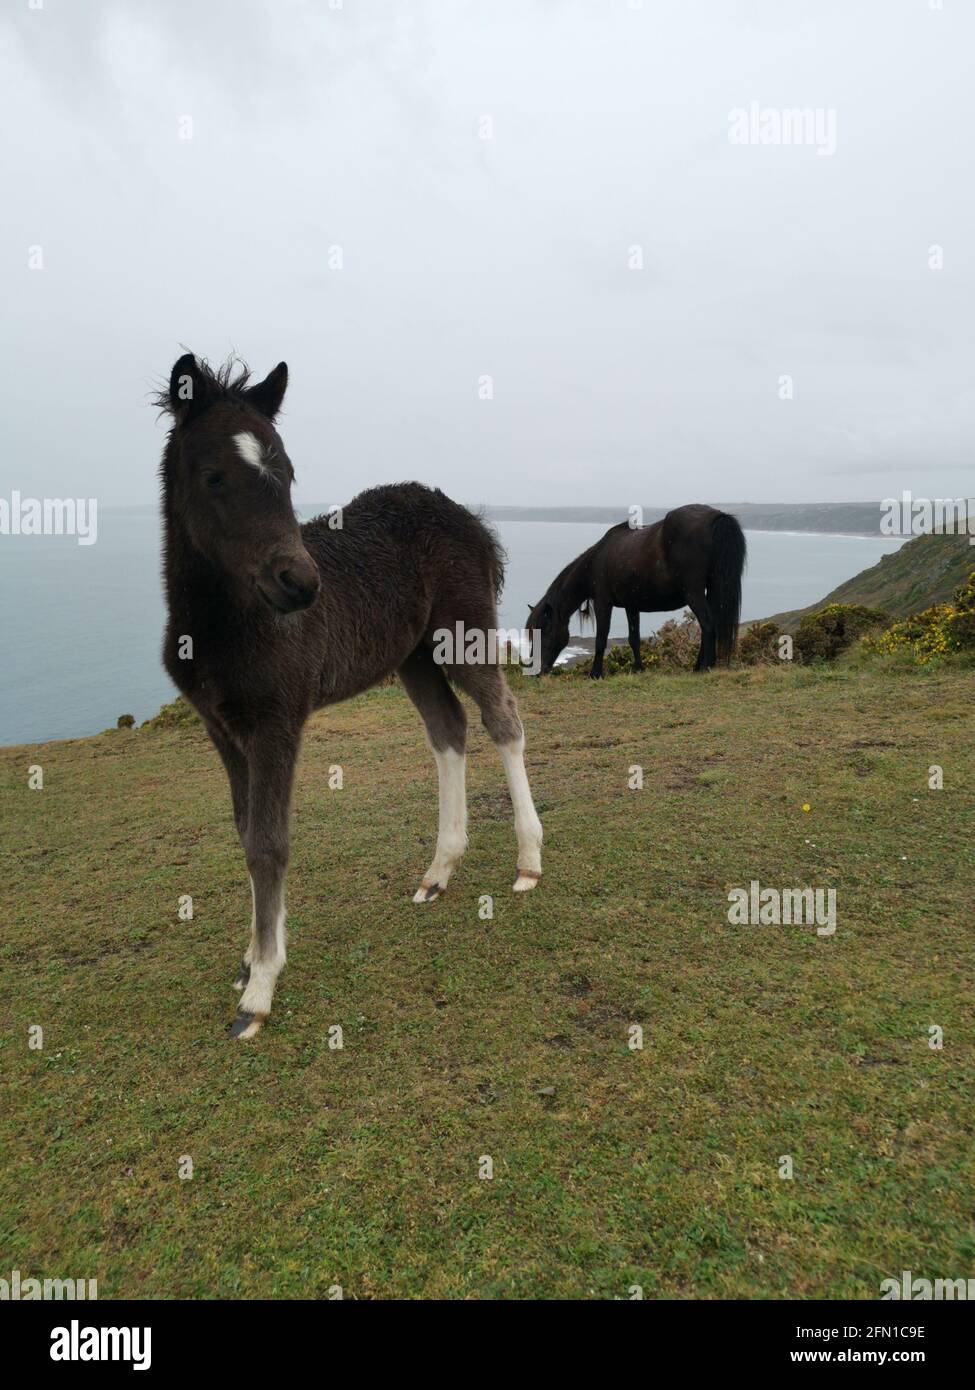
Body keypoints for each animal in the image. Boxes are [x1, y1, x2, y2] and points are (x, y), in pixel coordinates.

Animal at [156, 354, 543, 1040]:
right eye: (214, 476)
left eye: (286, 472)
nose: (300, 583)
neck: (225, 623)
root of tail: (469, 517)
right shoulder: (221, 727)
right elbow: (244, 831)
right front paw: (251, 959)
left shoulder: (277, 720)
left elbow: (268, 842)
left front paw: (260, 989)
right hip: (414, 655)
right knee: (448, 729)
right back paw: (439, 871)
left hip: (462, 632)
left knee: (503, 718)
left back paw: (528, 860)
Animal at [527, 505, 746, 677]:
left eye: (544, 630)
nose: (536, 670)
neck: (597, 561)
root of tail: (716, 516)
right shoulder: (631, 605)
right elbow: (634, 638)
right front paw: (638, 668)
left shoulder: (603, 603)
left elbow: (601, 639)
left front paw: (595, 674)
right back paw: (699, 666)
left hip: (694, 593)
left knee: (708, 624)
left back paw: (703, 667)